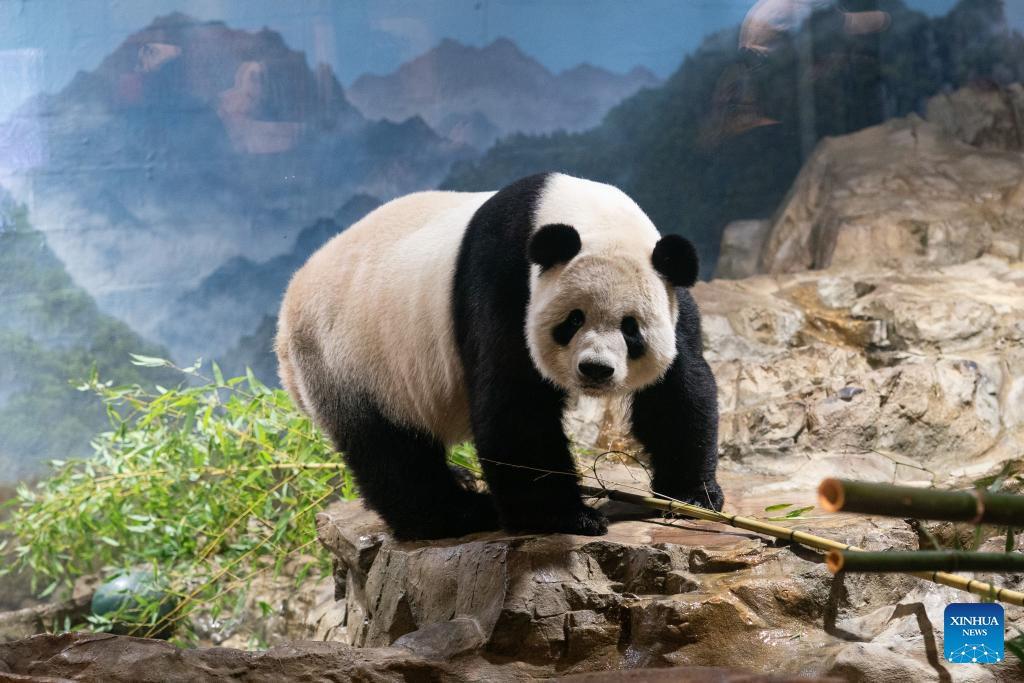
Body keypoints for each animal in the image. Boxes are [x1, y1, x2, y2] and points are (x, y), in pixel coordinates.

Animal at [276, 172, 722, 540]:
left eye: (631, 328)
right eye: (573, 320)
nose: (595, 369)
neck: (585, 214)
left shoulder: (670, 291)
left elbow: (678, 391)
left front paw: (691, 496)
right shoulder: (503, 283)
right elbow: (514, 405)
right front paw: (565, 517)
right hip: (351, 365)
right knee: (391, 452)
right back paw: (460, 513)